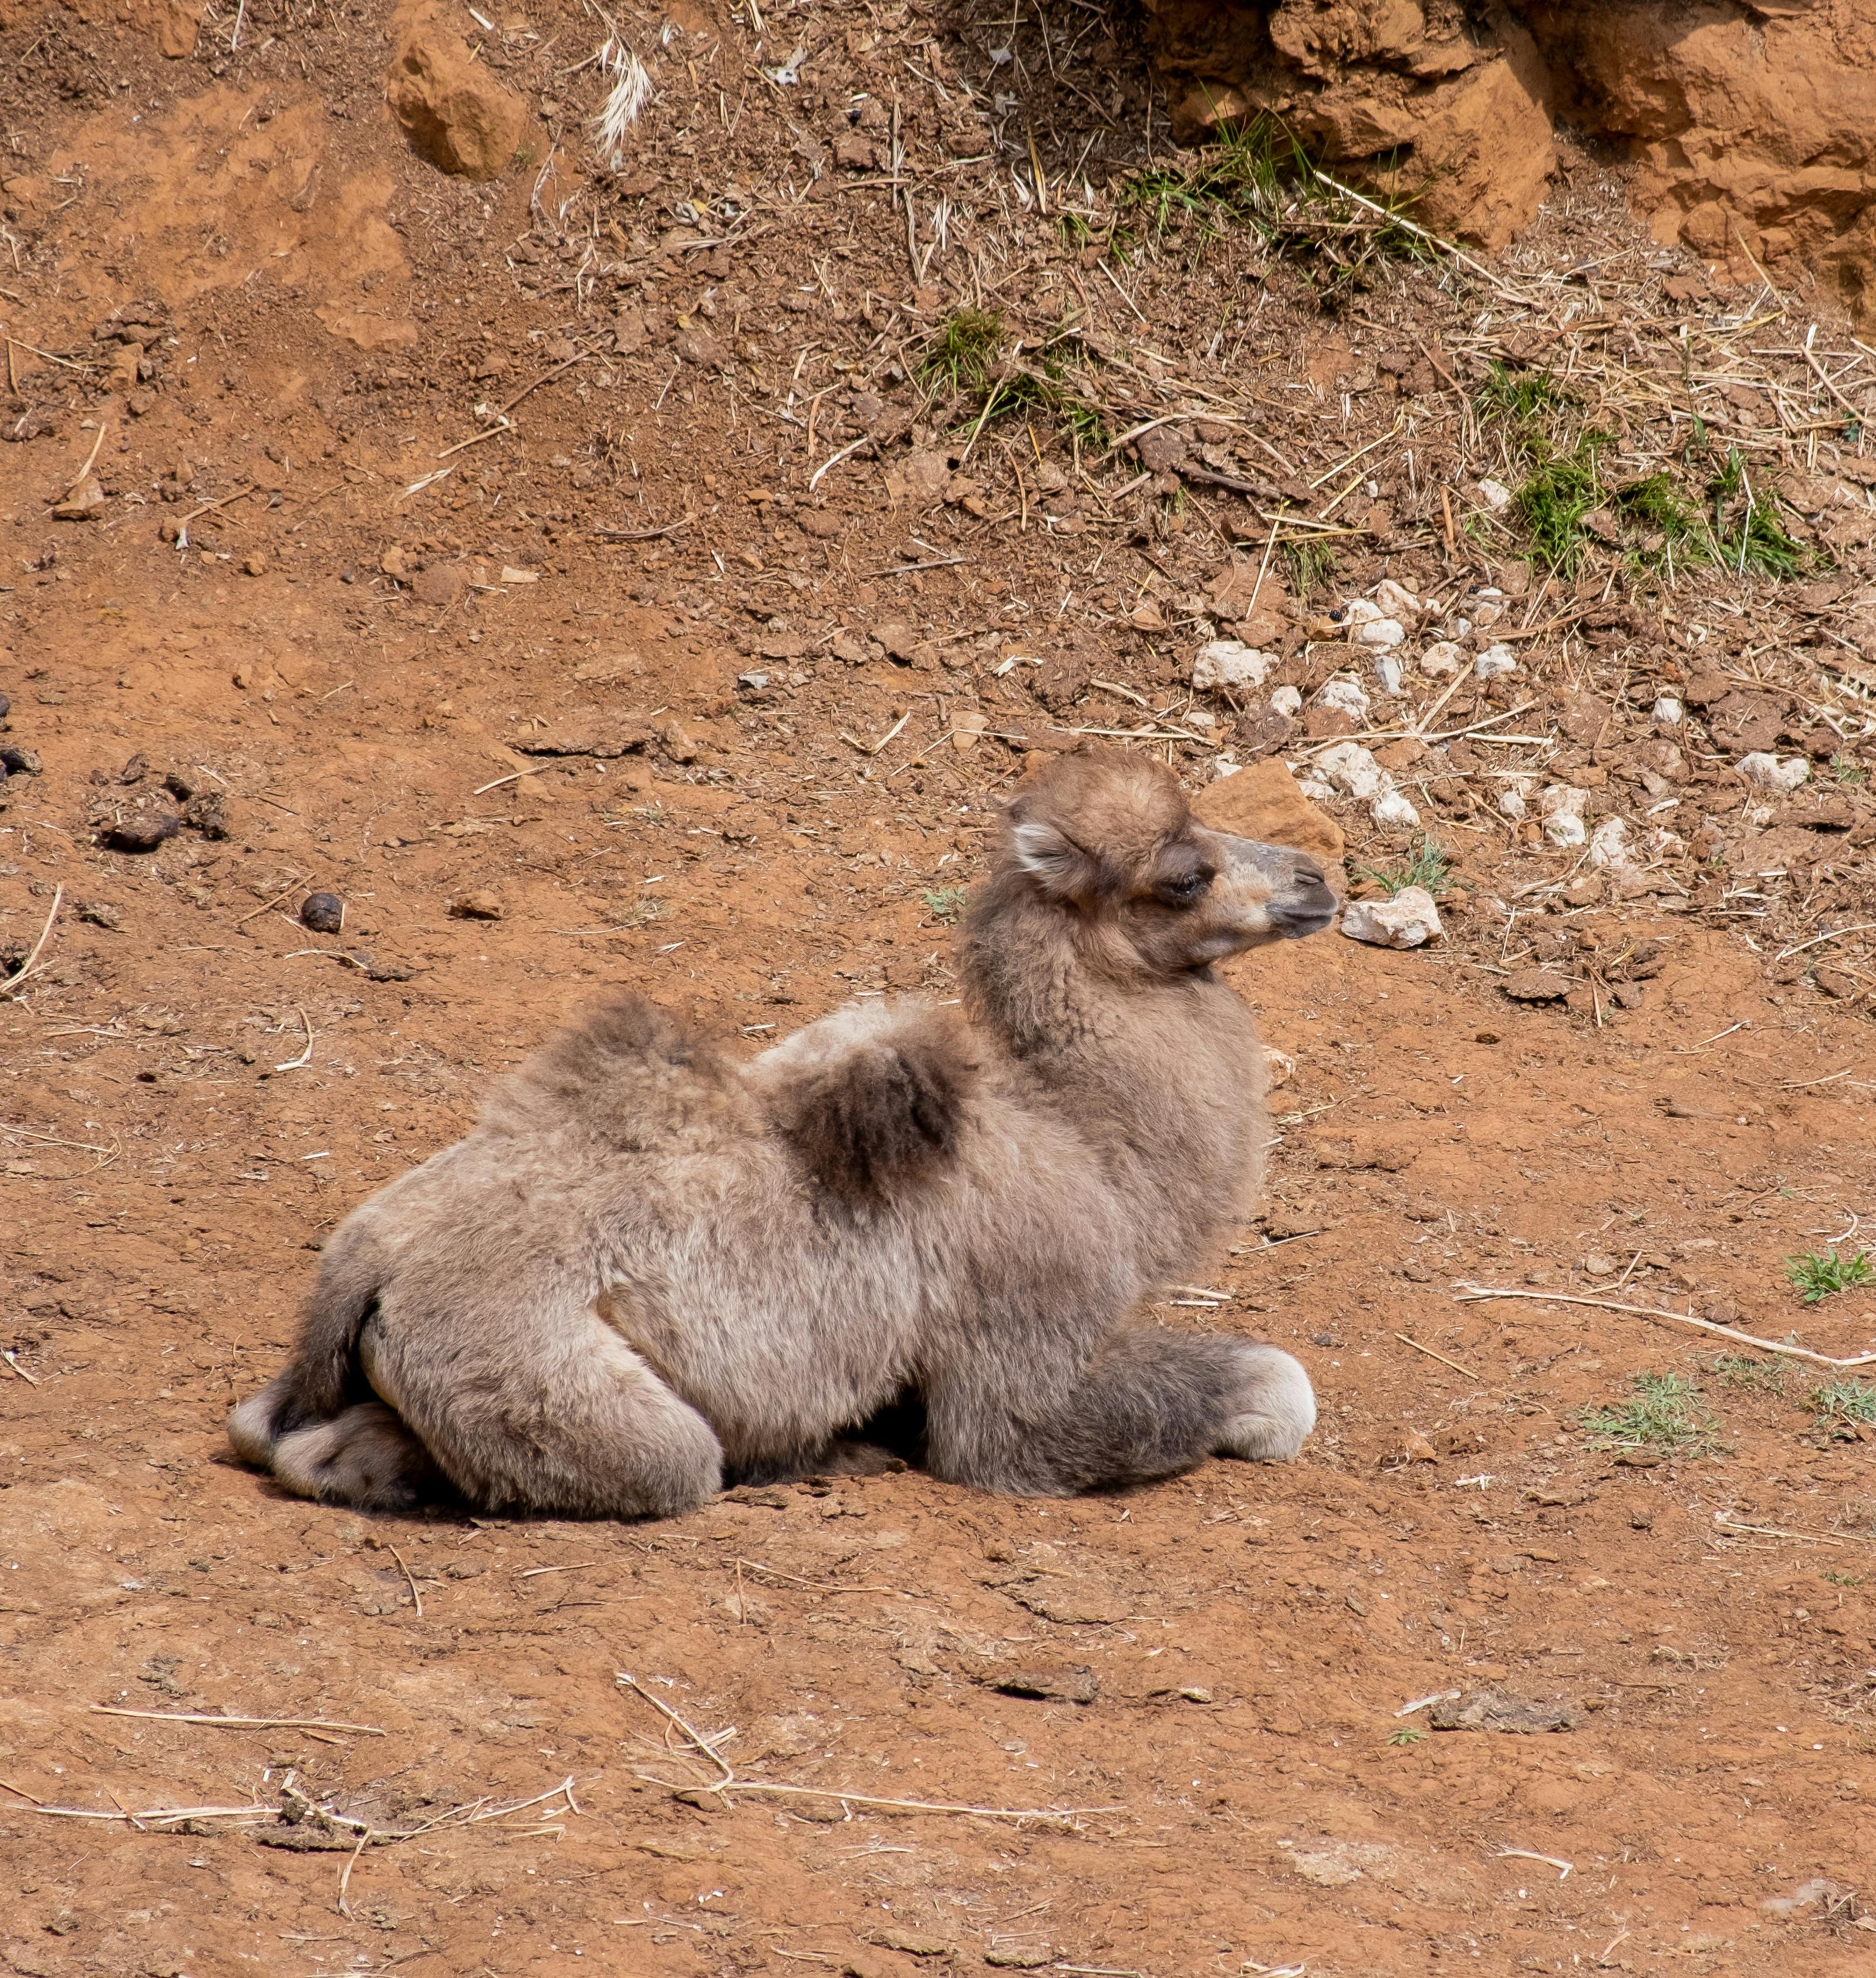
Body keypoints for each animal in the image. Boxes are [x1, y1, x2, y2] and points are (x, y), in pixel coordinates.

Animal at [228, 747, 1336, 1516]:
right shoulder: (1022, 1348)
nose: (1315, 881)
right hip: (551, 1376)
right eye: (1184, 874)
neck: (1088, 1140)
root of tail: (367, 1259)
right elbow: (1268, 1386)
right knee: (657, 1458)